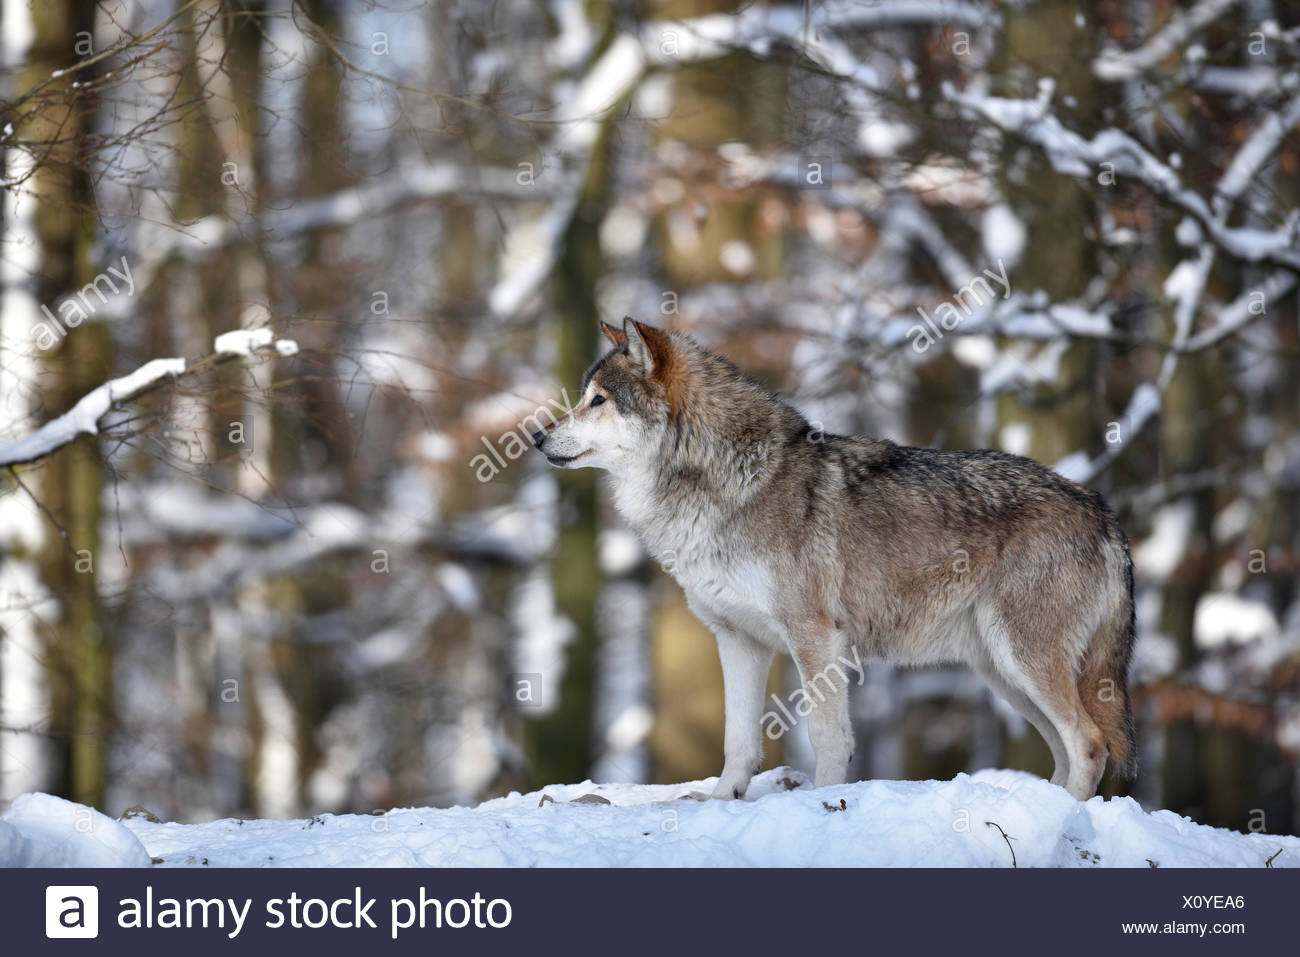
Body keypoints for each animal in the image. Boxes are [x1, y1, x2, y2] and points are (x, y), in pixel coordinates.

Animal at [532, 317, 1136, 801]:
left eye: (597, 400)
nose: (536, 437)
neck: (724, 484)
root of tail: (1102, 509)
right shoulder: (738, 640)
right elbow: (737, 741)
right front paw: (719, 802)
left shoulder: (815, 635)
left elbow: (826, 736)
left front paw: (822, 803)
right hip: (1004, 675)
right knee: (1066, 749)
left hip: (1023, 663)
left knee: (1089, 743)